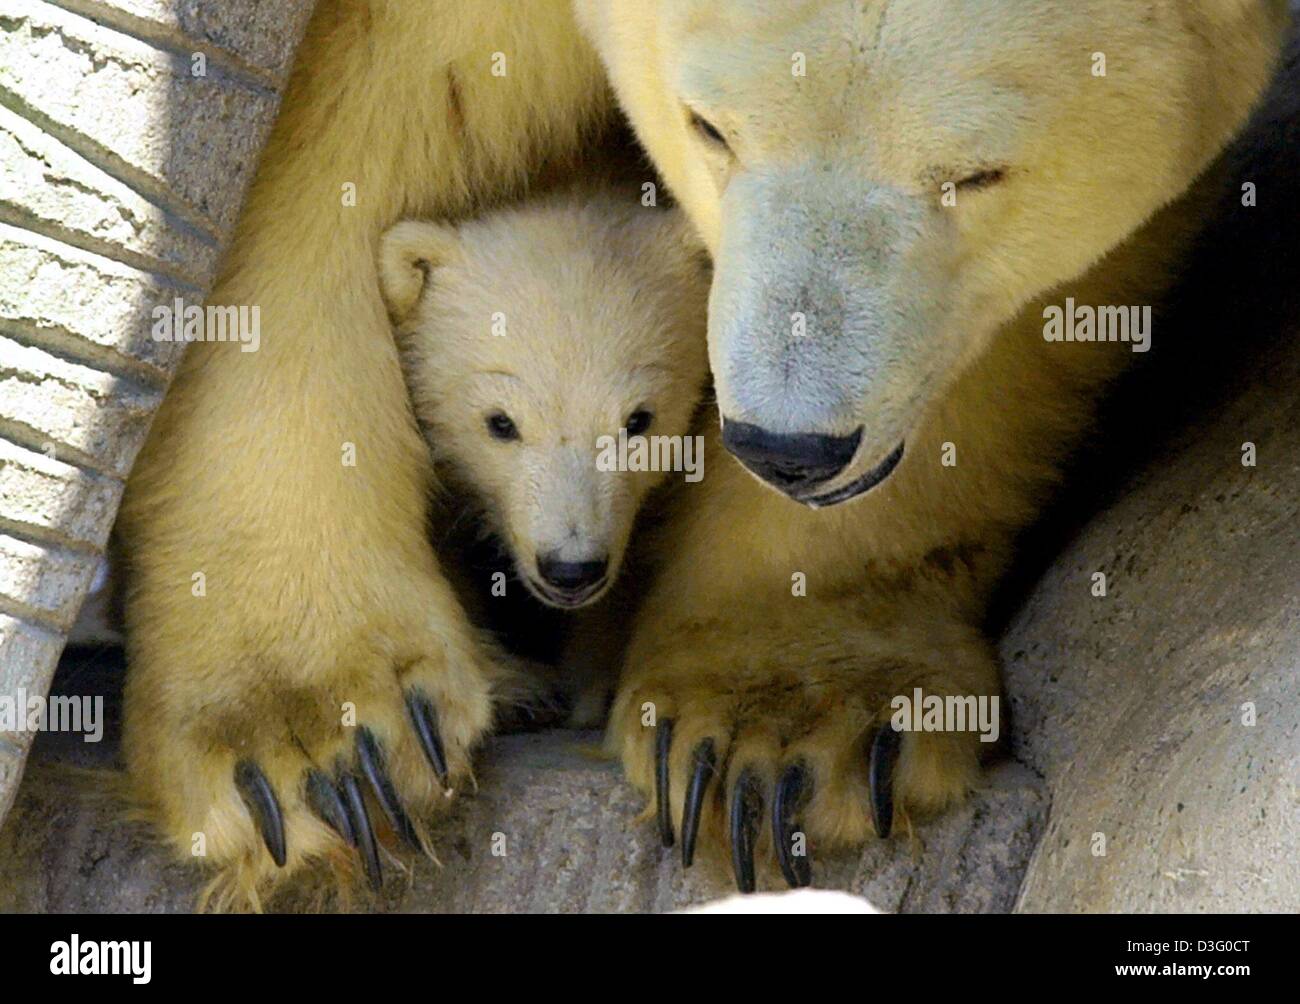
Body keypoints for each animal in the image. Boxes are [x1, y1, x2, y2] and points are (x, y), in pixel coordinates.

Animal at [115, 0, 1289, 907]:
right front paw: (321, 746)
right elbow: (333, 147)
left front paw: (779, 734)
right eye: (709, 129)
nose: (790, 445)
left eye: (978, 174)